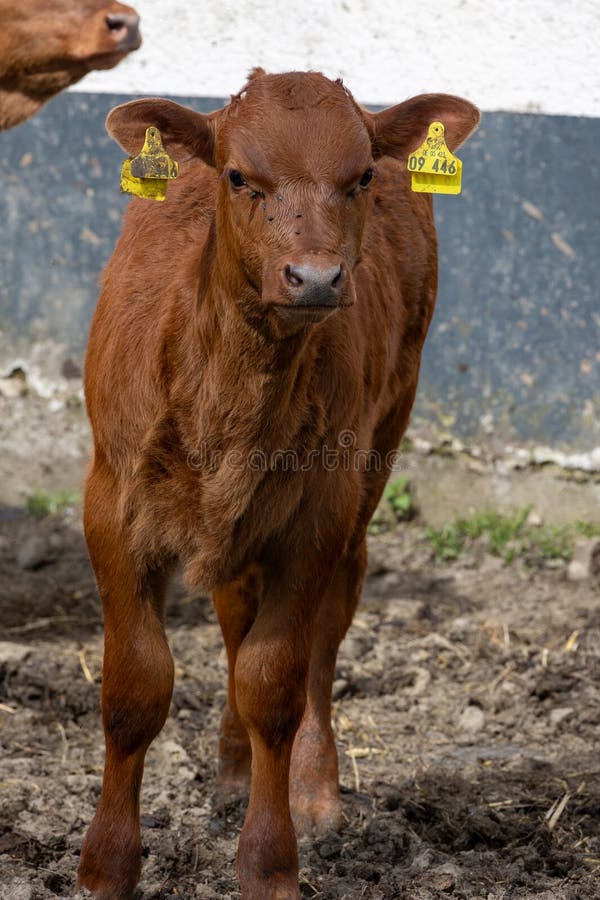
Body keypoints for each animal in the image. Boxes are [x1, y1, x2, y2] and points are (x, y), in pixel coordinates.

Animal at [77, 69, 479, 899]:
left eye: (360, 177)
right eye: (237, 176)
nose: (317, 277)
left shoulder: (314, 519)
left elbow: (275, 684)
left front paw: (270, 862)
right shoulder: (111, 503)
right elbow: (135, 688)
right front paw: (106, 866)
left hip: (376, 451)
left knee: (327, 626)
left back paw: (314, 790)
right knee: (236, 615)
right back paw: (234, 772)